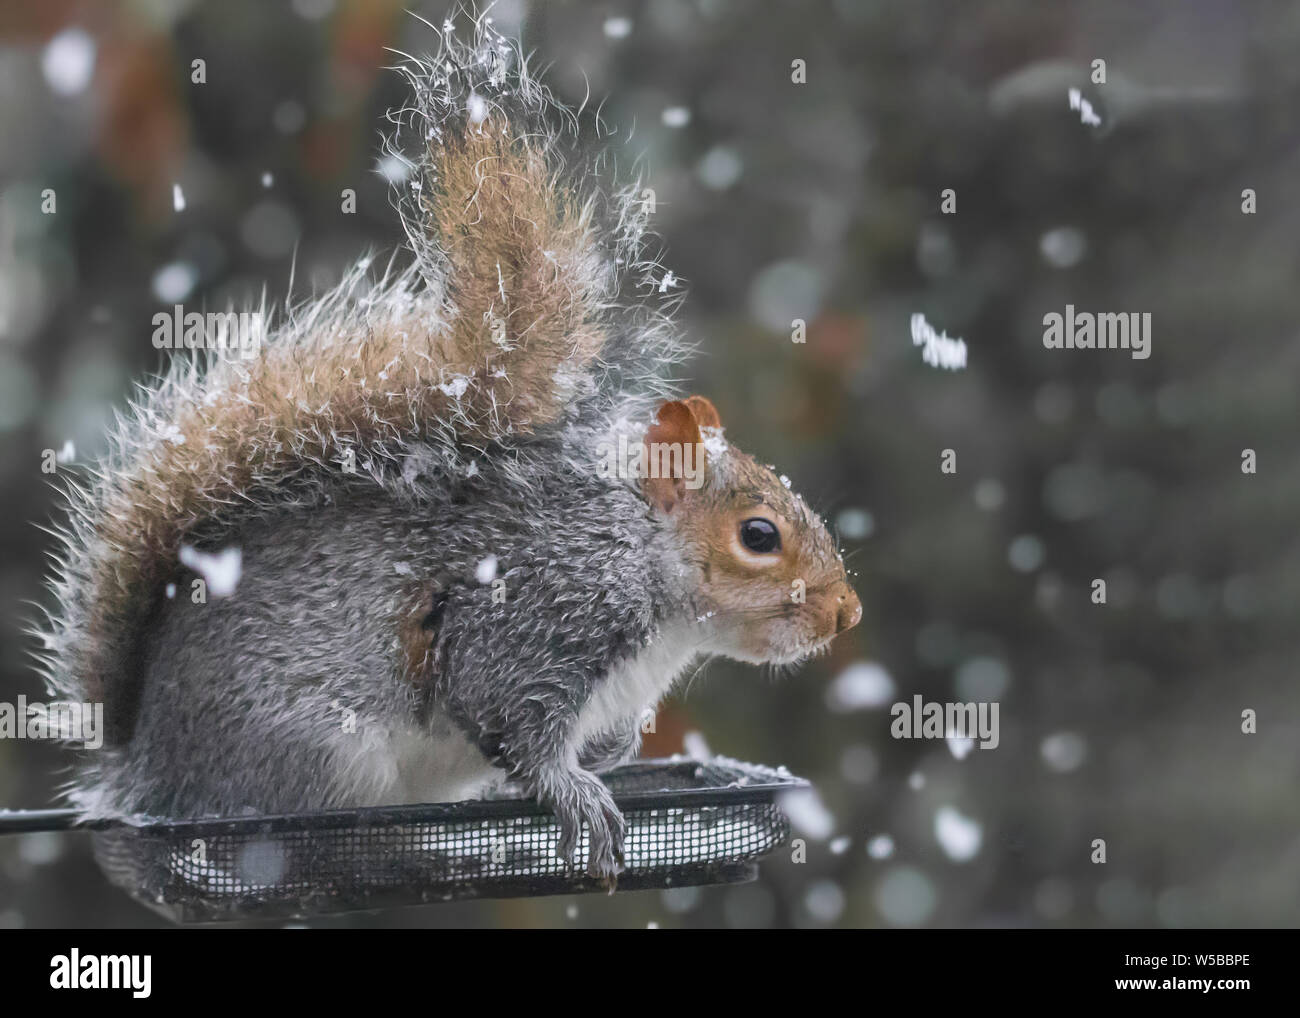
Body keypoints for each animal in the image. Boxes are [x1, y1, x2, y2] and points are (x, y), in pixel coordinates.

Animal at [32, 19, 861, 888]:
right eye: (759, 536)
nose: (847, 613)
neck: (643, 565)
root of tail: (142, 769)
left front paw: (612, 749)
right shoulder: (541, 611)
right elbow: (507, 715)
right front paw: (576, 791)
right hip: (319, 757)